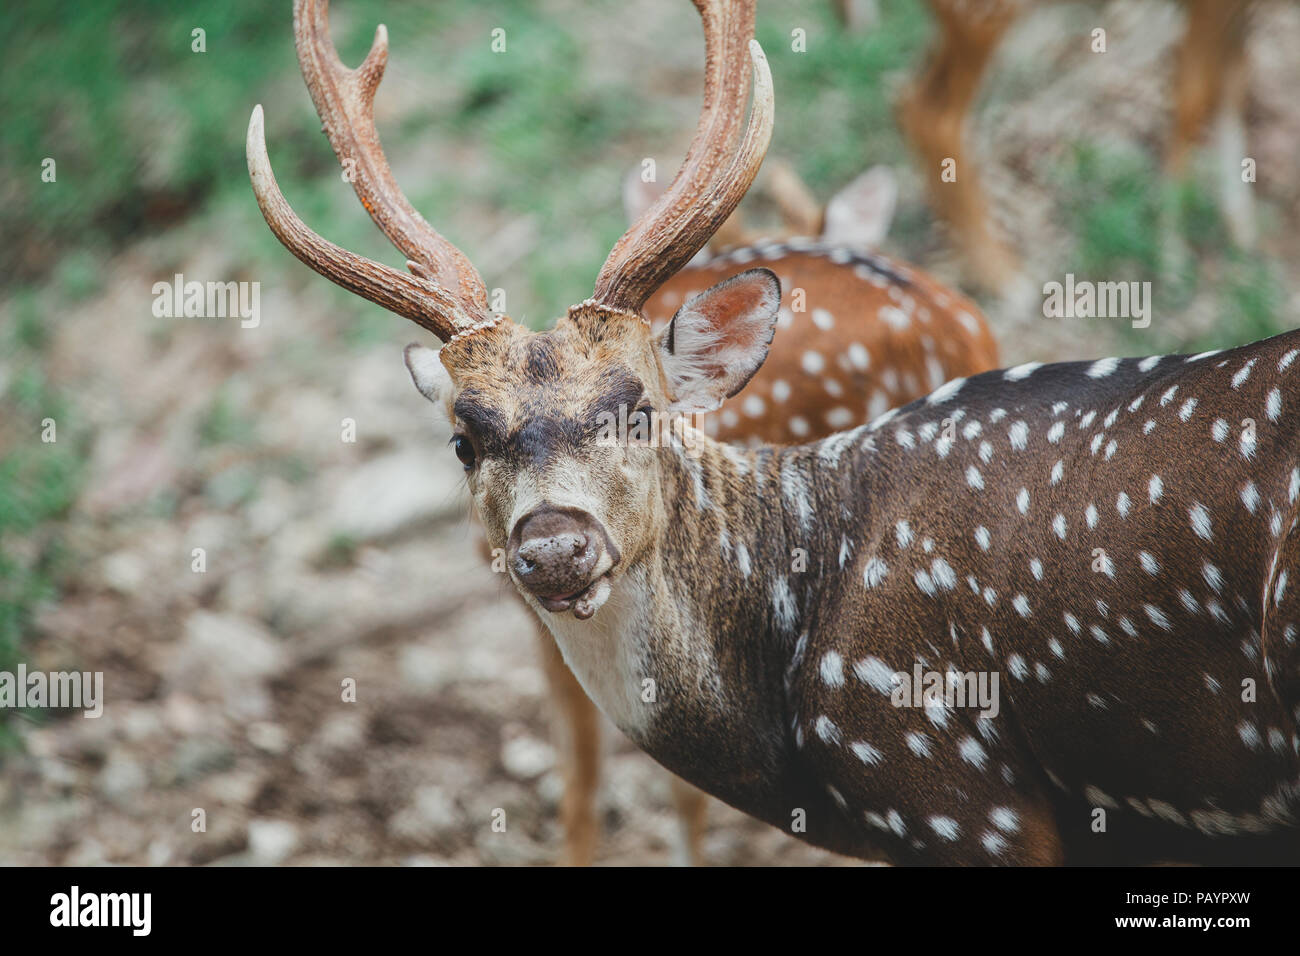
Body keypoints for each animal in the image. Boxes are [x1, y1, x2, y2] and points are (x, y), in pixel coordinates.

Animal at [899, 0, 1257, 297]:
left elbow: (1234, 81)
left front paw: (1242, 231)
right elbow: (1192, 101)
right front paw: (1172, 259)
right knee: (929, 109)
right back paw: (1004, 278)